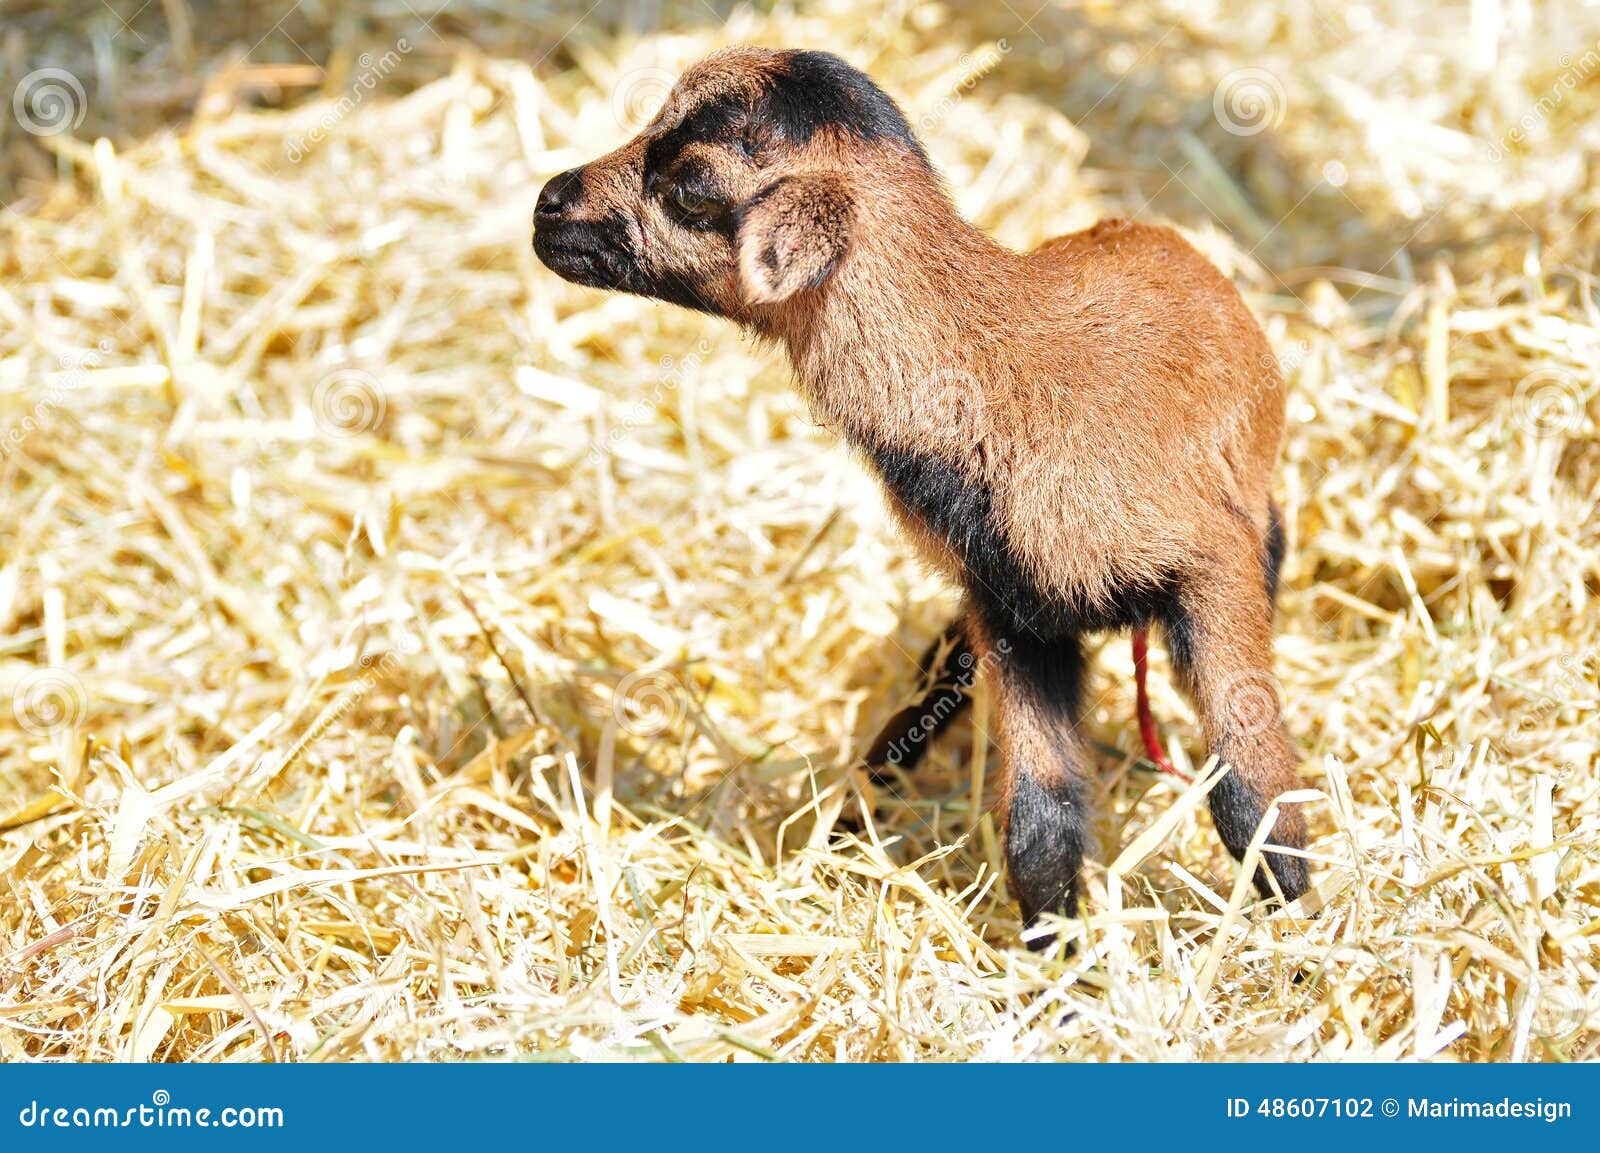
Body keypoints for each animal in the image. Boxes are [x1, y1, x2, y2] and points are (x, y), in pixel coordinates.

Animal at [533, 46, 1308, 945]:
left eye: (691, 190)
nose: (548, 203)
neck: (1004, 379)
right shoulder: (1013, 613)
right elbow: (1041, 822)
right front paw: (1056, 958)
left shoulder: (1211, 569)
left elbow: (1255, 798)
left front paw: (1296, 938)